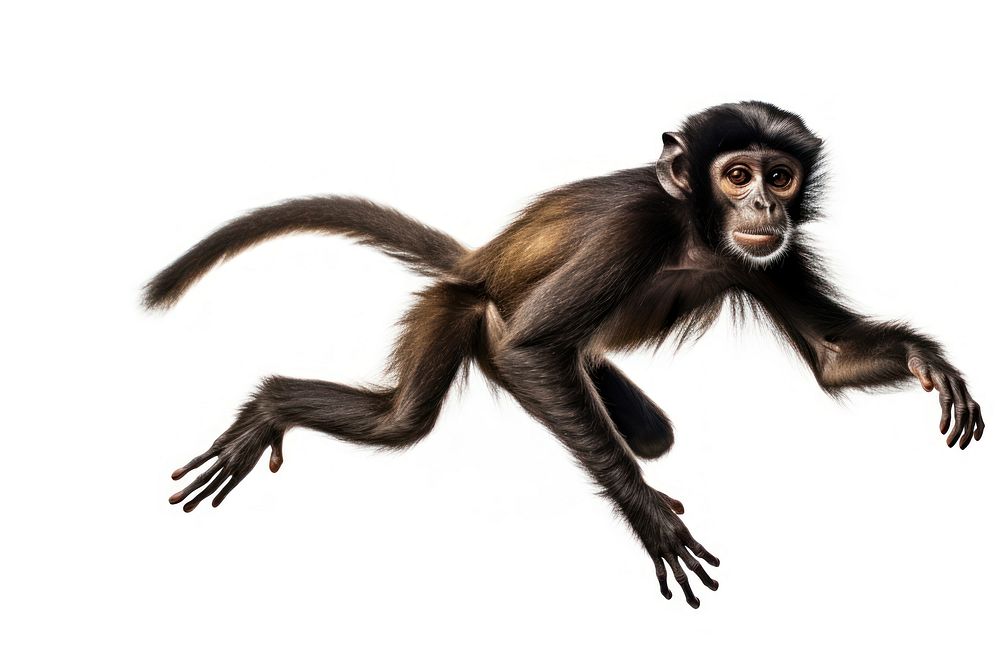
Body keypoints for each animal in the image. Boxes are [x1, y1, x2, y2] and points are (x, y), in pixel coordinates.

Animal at [144, 101, 985, 609]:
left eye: (780, 176)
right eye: (737, 174)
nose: (762, 205)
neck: (692, 230)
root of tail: (478, 263)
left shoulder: (771, 254)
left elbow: (834, 358)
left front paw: (928, 362)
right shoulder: (635, 228)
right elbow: (532, 349)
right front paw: (650, 517)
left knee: (639, 424)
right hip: (463, 311)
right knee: (411, 415)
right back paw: (273, 405)